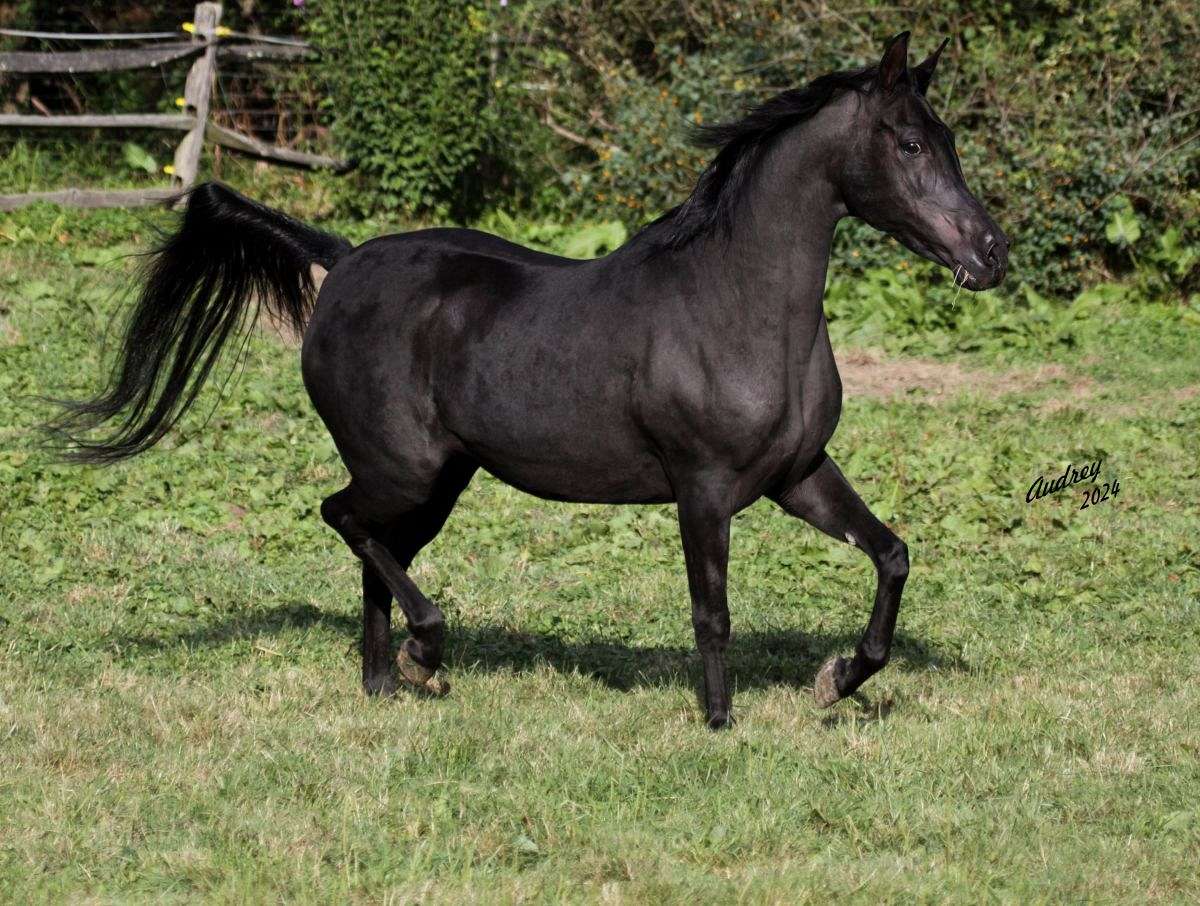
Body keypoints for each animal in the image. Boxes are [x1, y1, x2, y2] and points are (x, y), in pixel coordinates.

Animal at [50, 32, 1008, 729]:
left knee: (375, 551)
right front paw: (720, 722)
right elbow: (713, 612)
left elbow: (891, 555)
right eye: (910, 142)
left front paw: (837, 678)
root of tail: (345, 259)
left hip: (437, 480)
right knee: (345, 521)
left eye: (952, 141)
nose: (990, 253)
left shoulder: (799, 476)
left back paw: (387, 682)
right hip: (402, 470)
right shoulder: (702, 490)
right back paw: (425, 656)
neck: (737, 307)